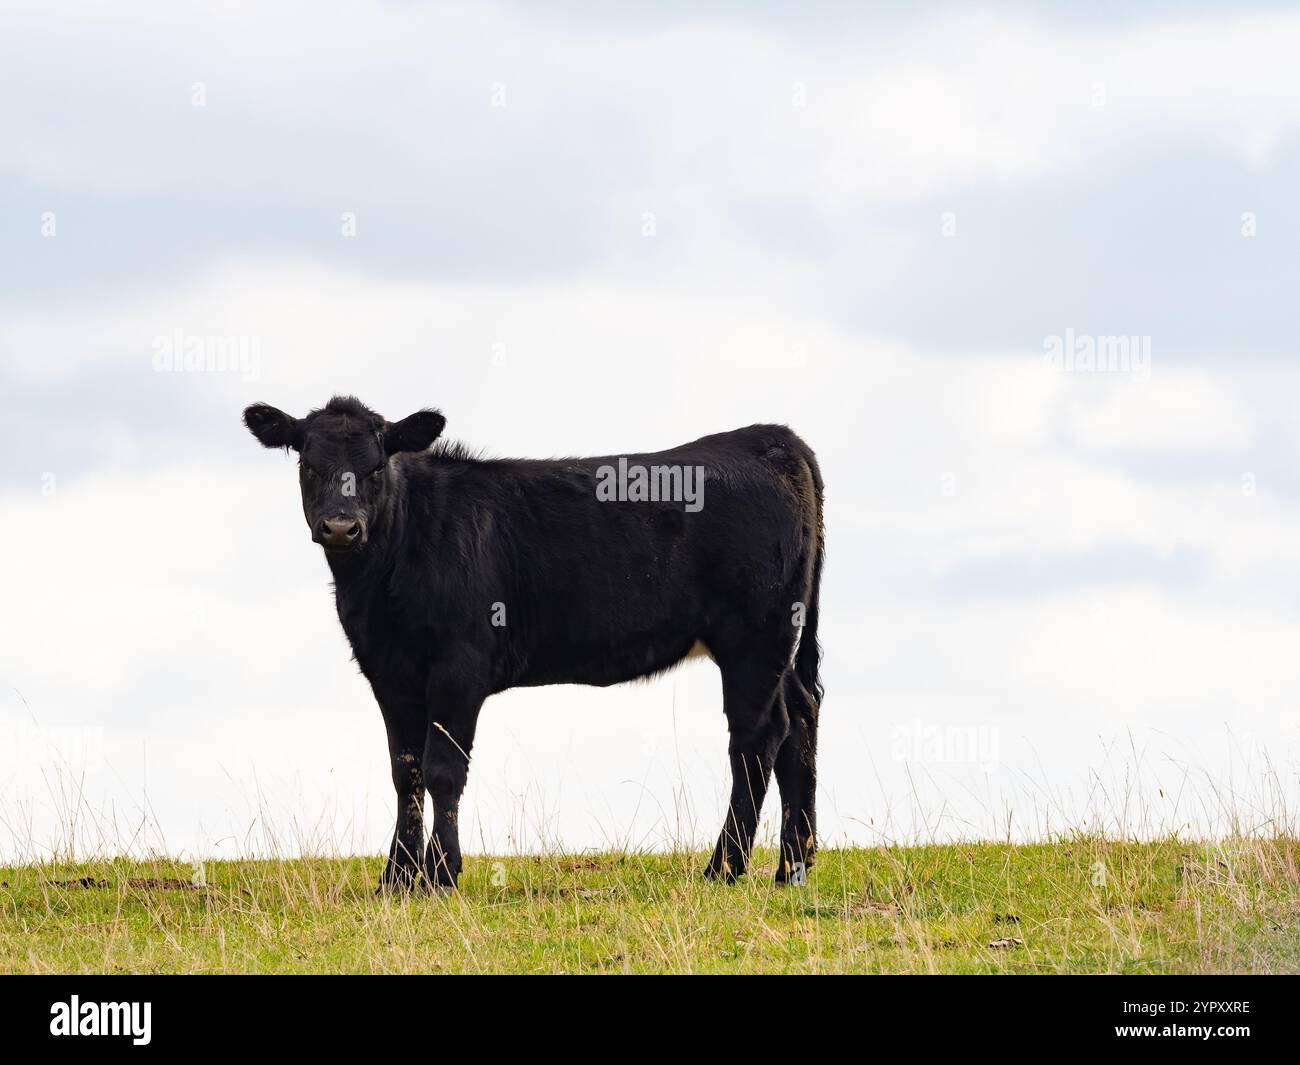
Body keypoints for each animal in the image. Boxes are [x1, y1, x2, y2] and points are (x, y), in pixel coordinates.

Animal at [243, 395, 824, 893]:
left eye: (376, 467)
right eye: (308, 464)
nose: (342, 527)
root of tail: (768, 438)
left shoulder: (459, 666)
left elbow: (443, 768)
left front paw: (441, 874)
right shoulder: (388, 671)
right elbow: (404, 770)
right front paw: (397, 877)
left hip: (755, 637)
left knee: (757, 738)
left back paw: (724, 867)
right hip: (778, 642)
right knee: (800, 716)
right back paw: (791, 866)